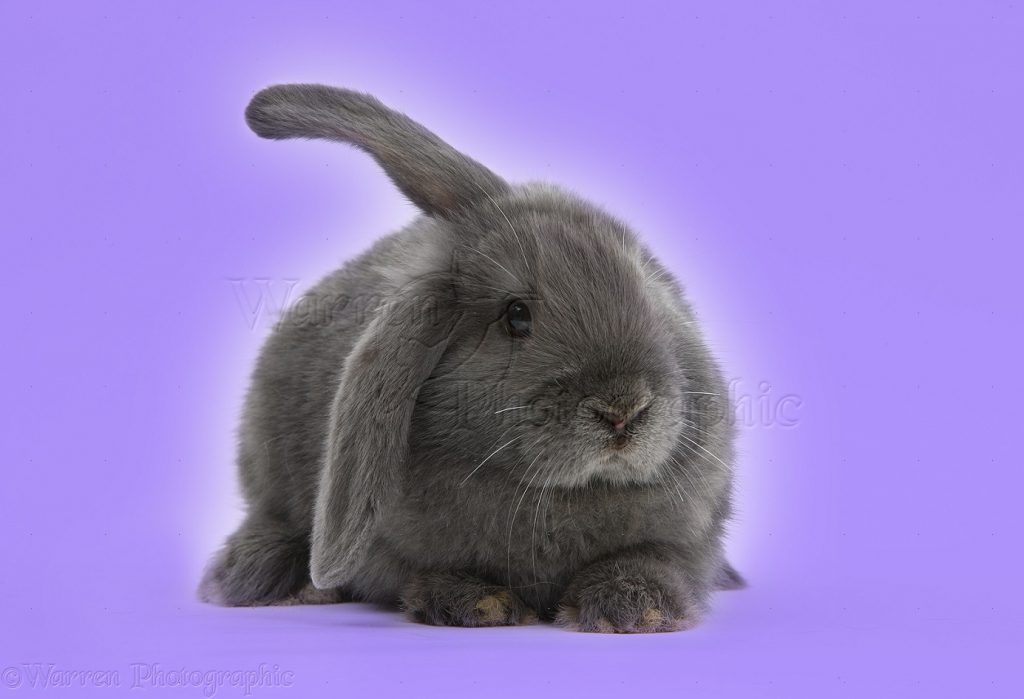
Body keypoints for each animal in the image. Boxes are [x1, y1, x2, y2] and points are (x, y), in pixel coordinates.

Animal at [199, 84, 745, 632]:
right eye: (516, 316)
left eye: (649, 290)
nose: (623, 410)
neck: (561, 492)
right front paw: (480, 604)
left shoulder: (684, 538)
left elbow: (650, 559)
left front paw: (636, 609)